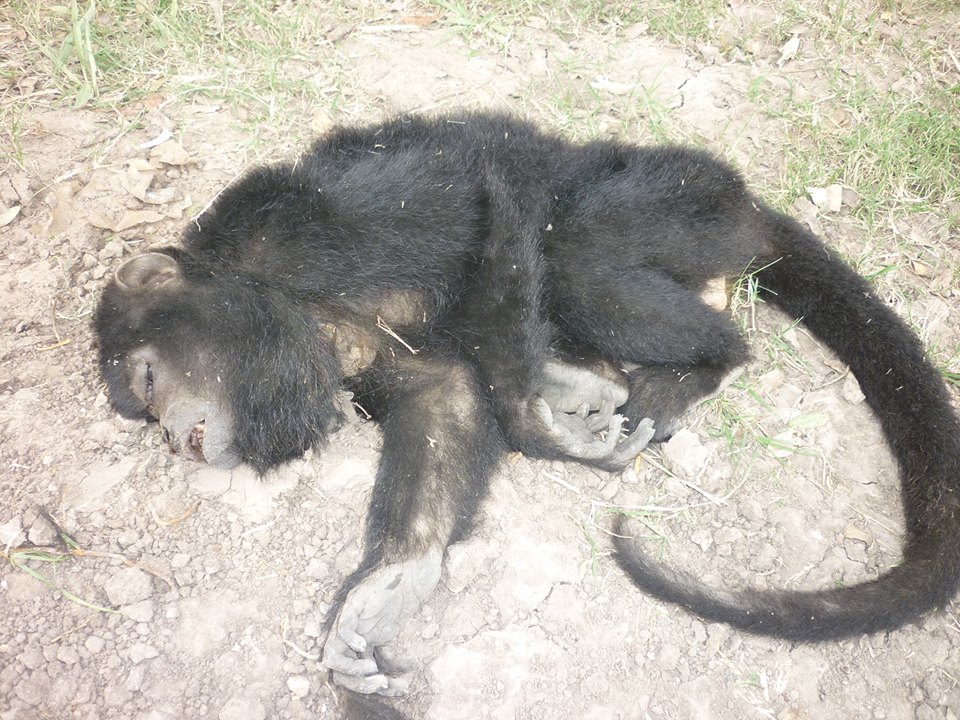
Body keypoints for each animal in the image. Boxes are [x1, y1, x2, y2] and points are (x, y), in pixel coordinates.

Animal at [93, 112, 960, 718]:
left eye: (146, 378)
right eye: (142, 413)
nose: (168, 435)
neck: (276, 297)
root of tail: (739, 197)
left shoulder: (296, 225)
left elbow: (487, 195)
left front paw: (536, 424)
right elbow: (445, 404)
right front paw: (389, 586)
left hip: (683, 204)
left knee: (573, 248)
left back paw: (672, 369)